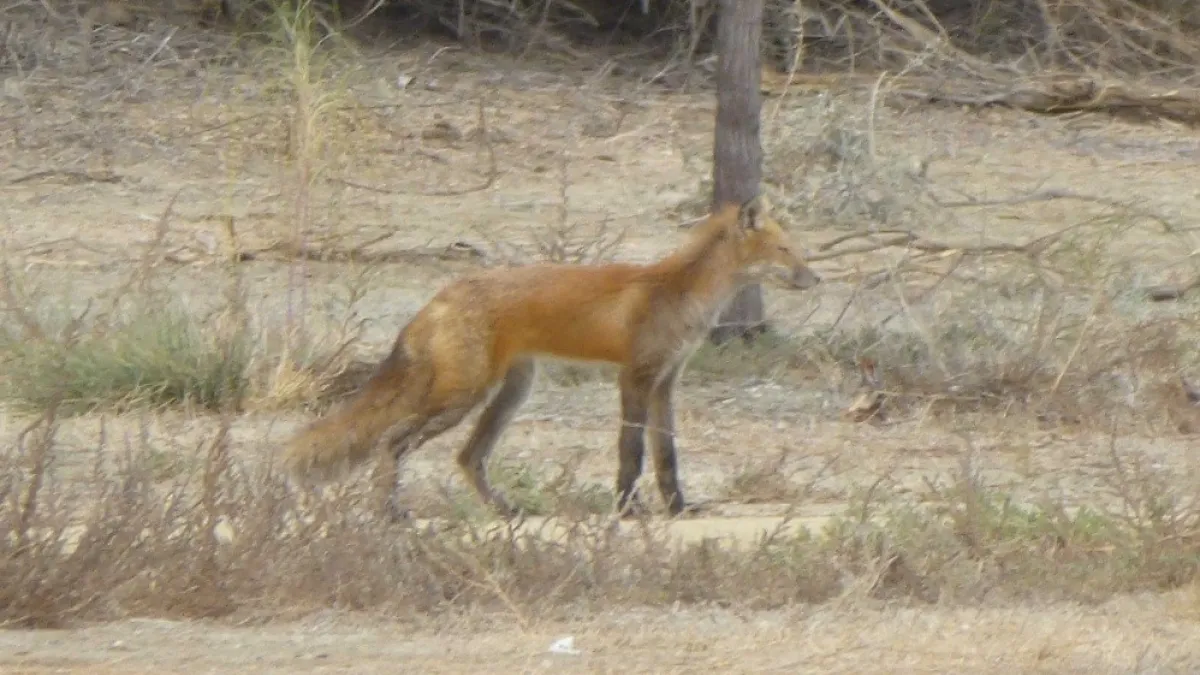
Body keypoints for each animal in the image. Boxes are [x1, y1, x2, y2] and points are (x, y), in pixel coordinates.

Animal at [281, 194, 821, 519]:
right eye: (785, 251)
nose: (816, 279)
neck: (679, 294)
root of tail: (440, 295)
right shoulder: (635, 376)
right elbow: (631, 452)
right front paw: (627, 509)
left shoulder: (666, 382)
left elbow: (666, 455)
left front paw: (677, 508)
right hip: (462, 395)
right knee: (391, 441)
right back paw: (391, 513)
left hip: (512, 391)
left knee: (467, 457)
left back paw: (503, 511)